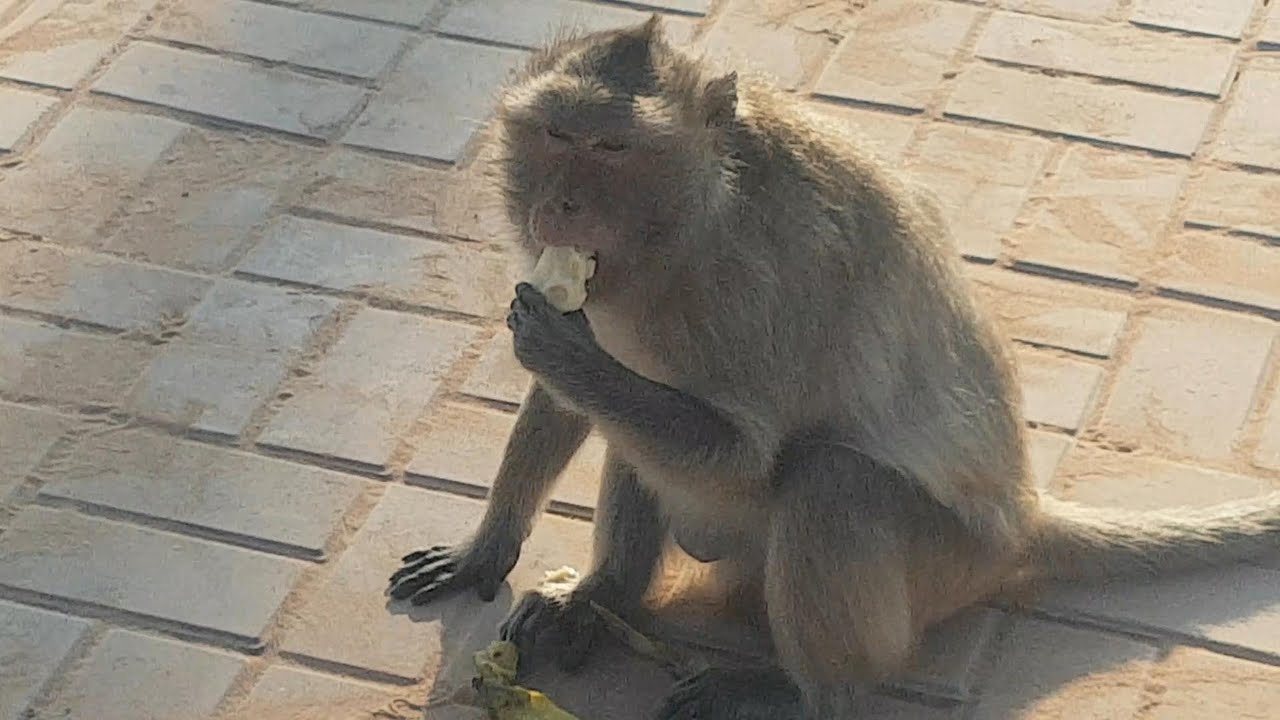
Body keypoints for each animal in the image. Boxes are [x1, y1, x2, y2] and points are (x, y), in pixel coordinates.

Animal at [388, 15, 1280, 719]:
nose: (560, 205)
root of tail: (1023, 515)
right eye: (556, 138)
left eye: (612, 148)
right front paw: (486, 547)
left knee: (829, 482)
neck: (688, 226)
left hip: (946, 563)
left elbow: (739, 456)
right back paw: (609, 595)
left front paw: (562, 351)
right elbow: (572, 401)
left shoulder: (753, 285)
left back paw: (801, 692)